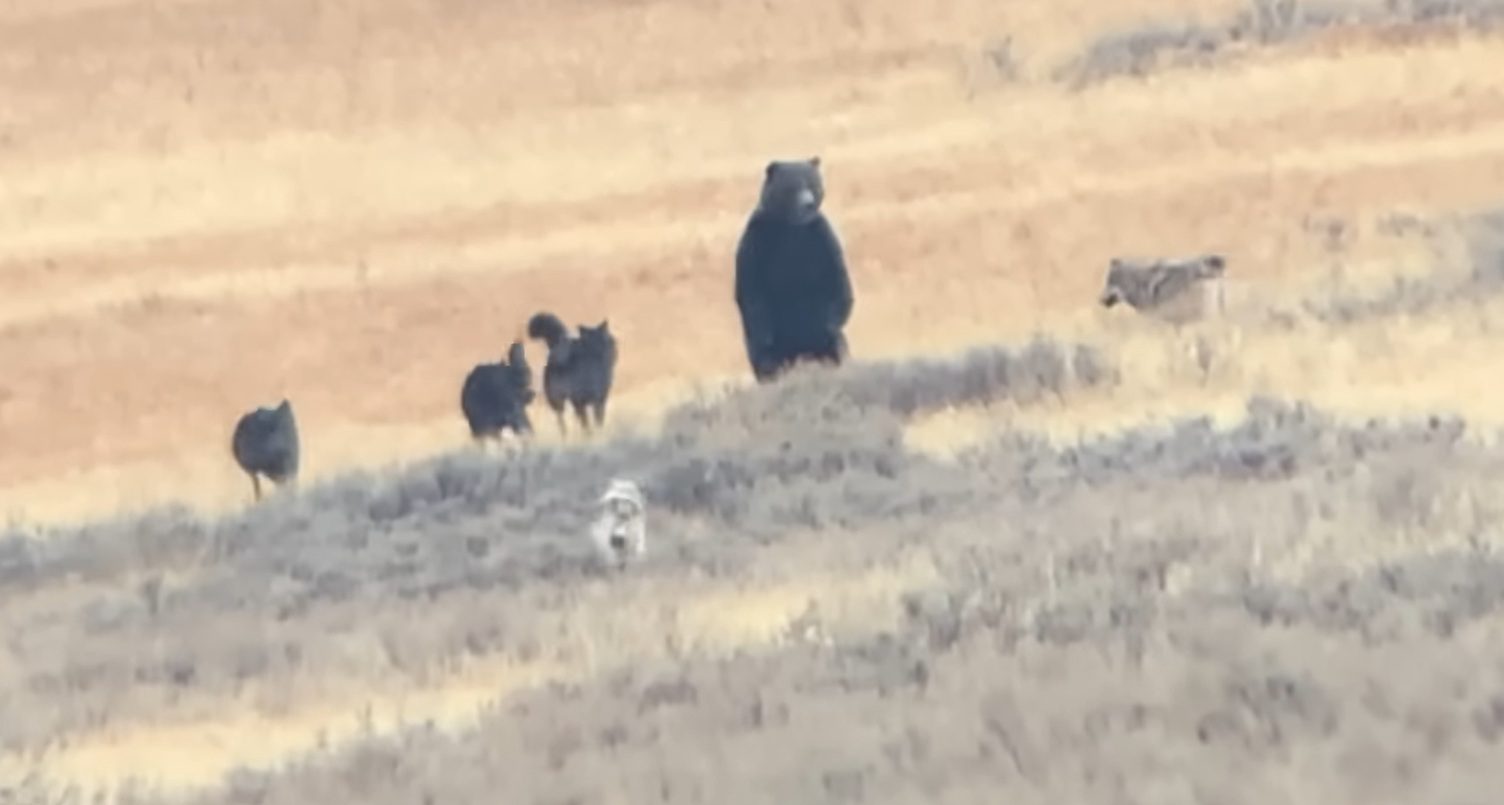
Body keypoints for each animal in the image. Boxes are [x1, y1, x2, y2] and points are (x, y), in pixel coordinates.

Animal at [733, 156, 855, 384]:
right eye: (792, 186)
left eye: (813, 184)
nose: (807, 203)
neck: (792, 226)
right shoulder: (757, 242)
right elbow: (752, 293)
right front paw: (766, 340)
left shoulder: (820, 239)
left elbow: (839, 284)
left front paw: (830, 325)